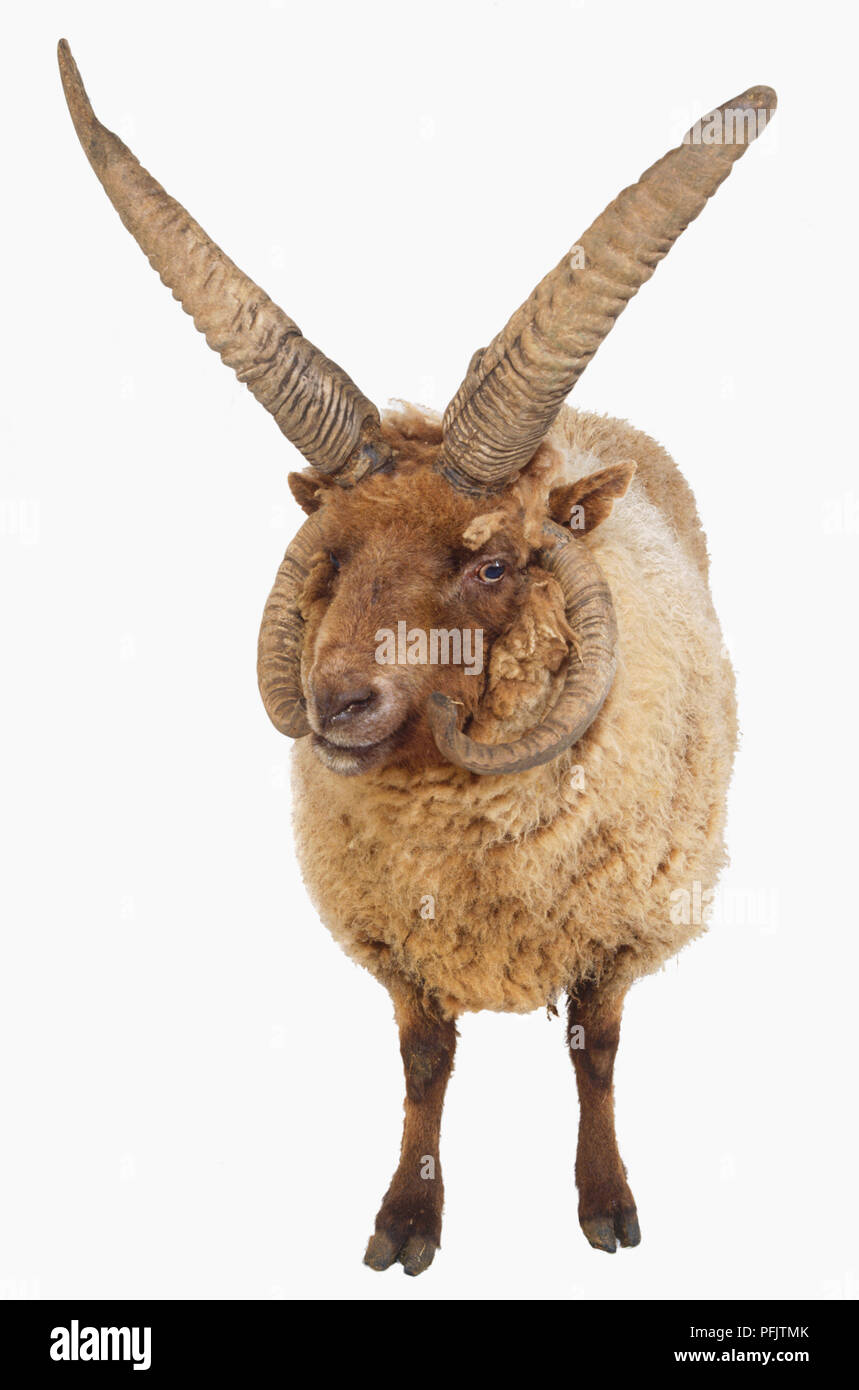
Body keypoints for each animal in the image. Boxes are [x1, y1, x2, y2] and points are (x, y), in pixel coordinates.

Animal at [57, 39, 776, 1276]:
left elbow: (594, 1051)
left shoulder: (621, 919)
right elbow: (424, 1068)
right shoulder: (397, 935)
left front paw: (605, 1204)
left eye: (490, 564)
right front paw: (406, 1219)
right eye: (333, 555)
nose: (335, 701)